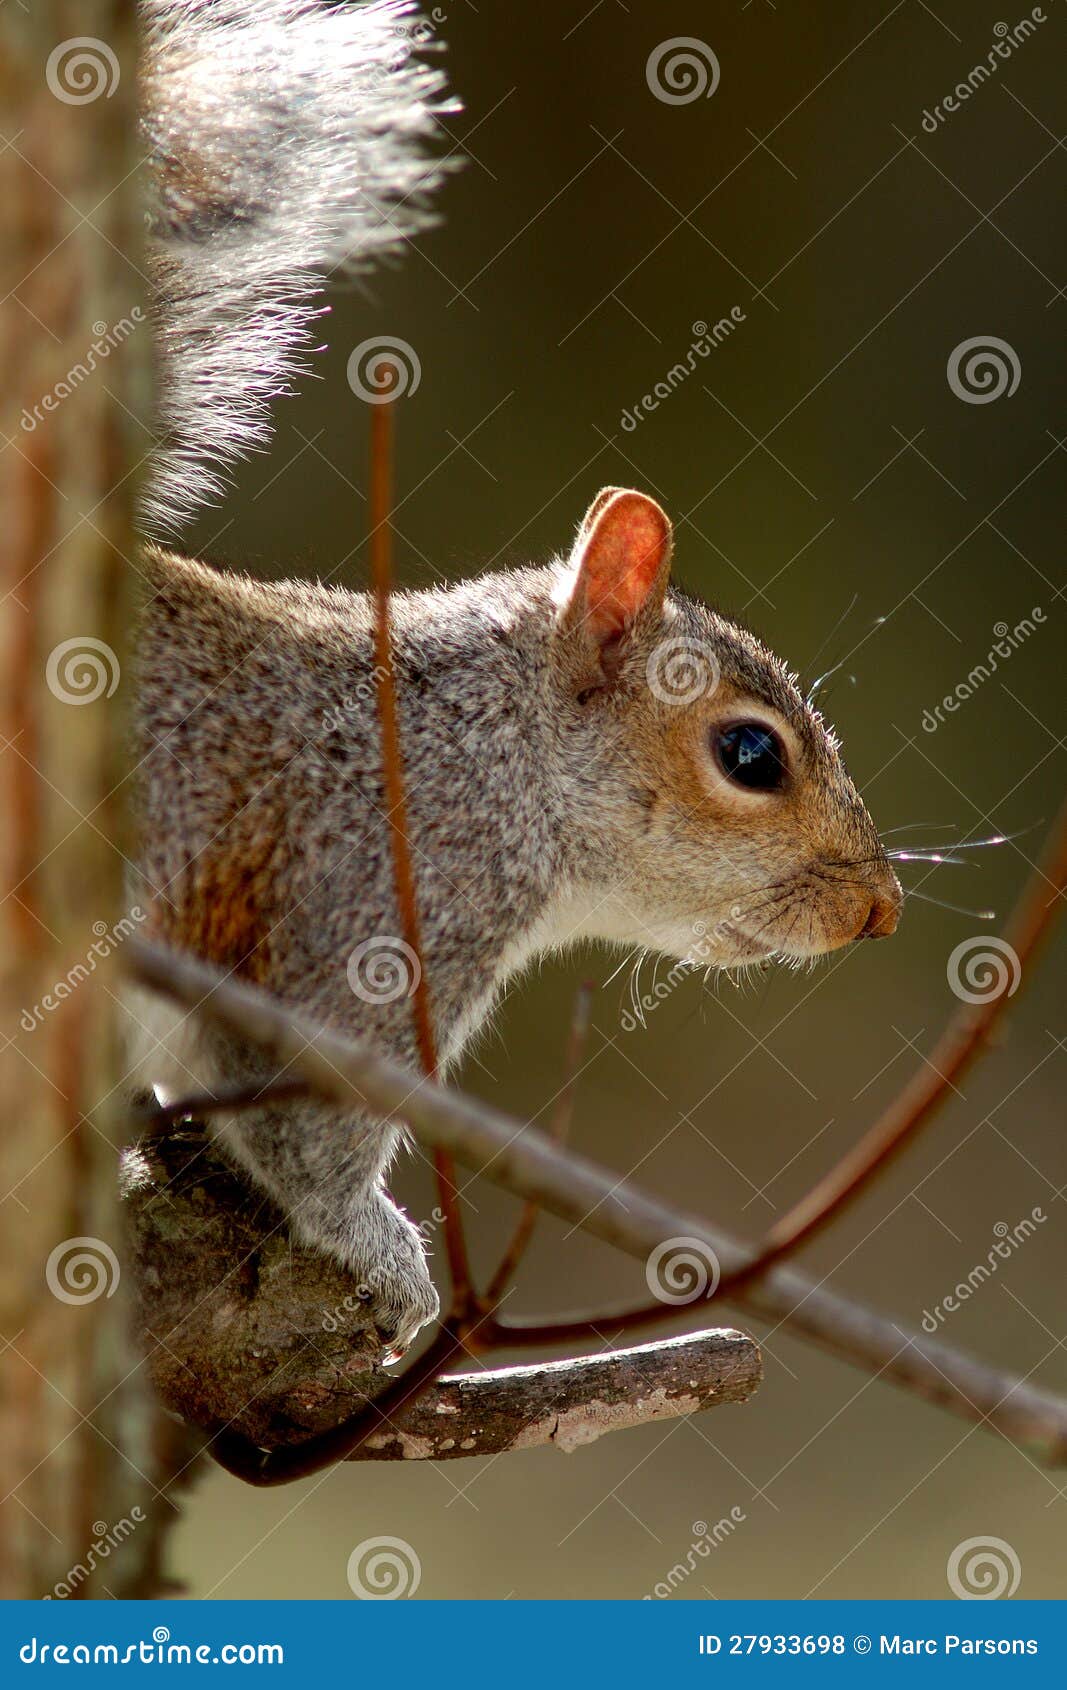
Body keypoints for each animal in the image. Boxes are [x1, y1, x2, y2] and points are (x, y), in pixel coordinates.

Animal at [129, 0, 902, 1356]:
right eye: (750, 754)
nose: (879, 908)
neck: (478, 748)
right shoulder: (369, 910)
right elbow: (302, 1125)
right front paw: (389, 1258)